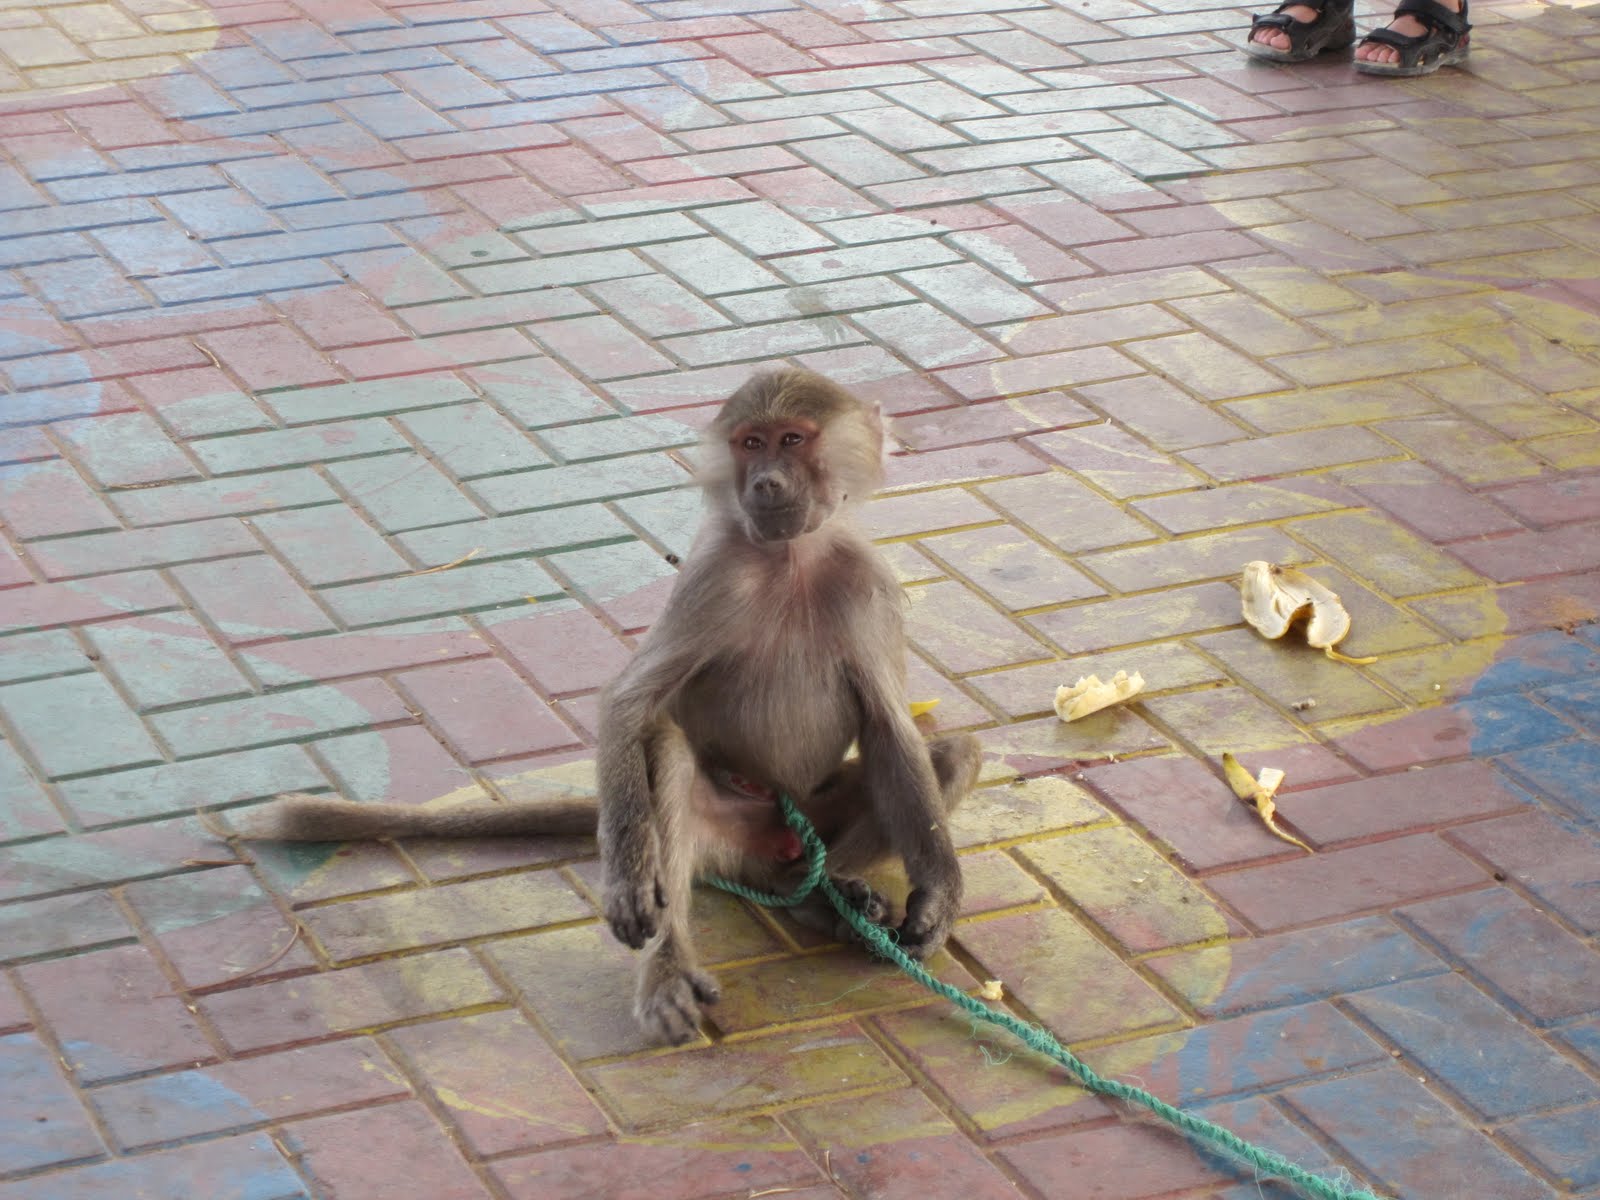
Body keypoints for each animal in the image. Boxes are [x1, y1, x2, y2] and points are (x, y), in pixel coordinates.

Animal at [239, 368, 982, 1045]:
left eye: (793, 440)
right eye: (750, 443)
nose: (766, 484)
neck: (789, 559)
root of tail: (771, 849)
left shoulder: (867, 582)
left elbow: (889, 727)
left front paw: (937, 898)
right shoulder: (713, 576)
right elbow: (631, 704)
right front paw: (626, 882)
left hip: (810, 818)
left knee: (949, 752)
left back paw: (832, 896)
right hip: (722, 831)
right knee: (672, 760)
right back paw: (676, 969)